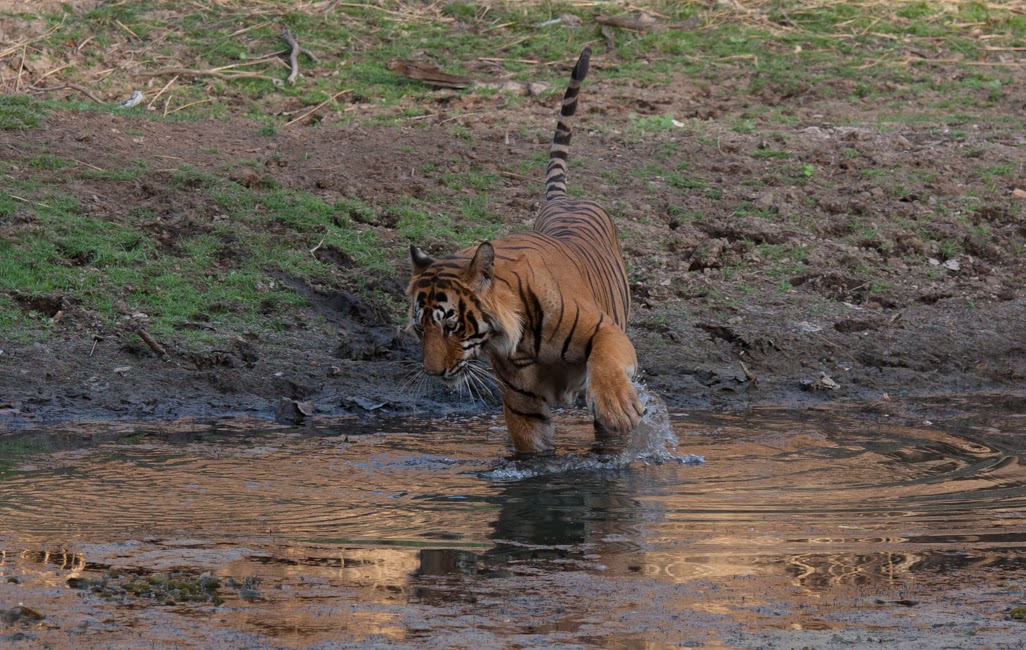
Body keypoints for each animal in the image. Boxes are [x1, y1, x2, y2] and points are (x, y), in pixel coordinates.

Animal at [407, 47, 643, 454]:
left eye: (451, 326)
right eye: (421, 329)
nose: (433, 373)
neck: (518, 338)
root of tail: (564, 200)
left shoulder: (607, 331)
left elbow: (606, 364)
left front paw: (617, 406)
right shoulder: (523, 404)